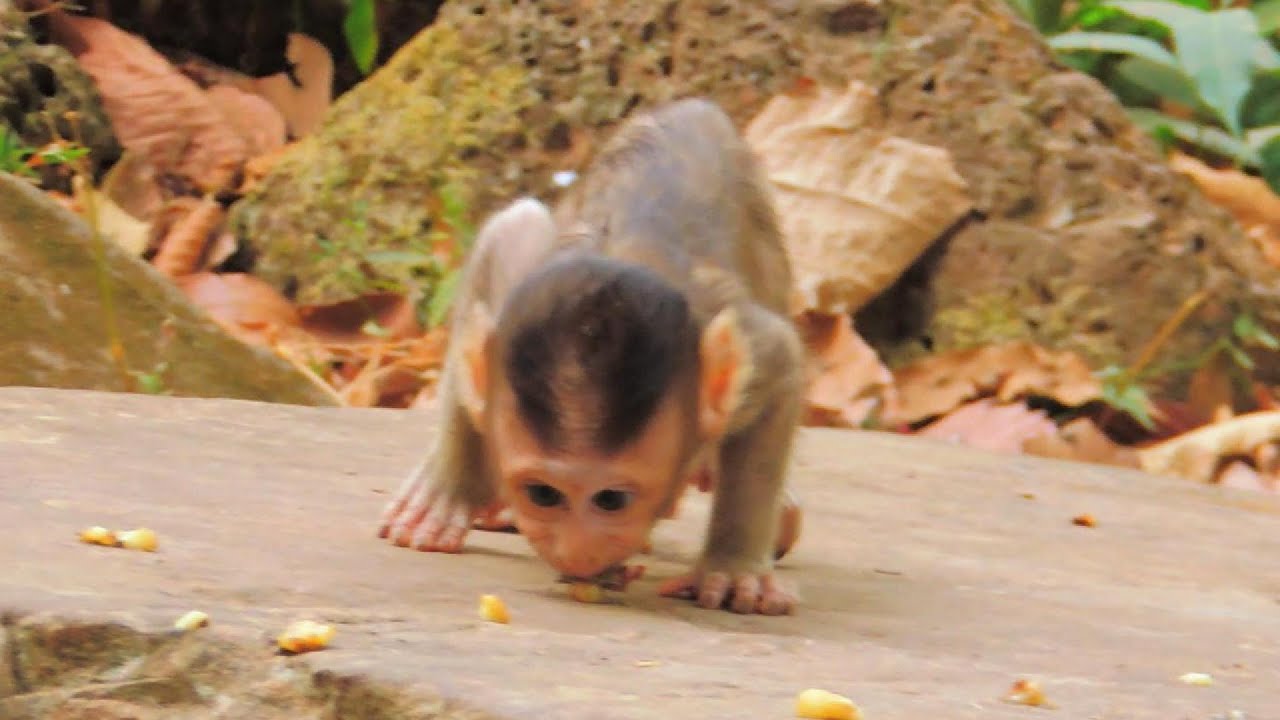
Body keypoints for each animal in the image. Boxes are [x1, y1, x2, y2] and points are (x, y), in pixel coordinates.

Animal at [378, 98, 806, 615]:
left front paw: (733, 566)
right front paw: (448, 490)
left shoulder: (750, 355)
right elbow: (505, 240)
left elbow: (783, 363)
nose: (576, 552)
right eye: (543, 495)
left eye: (612, 500)